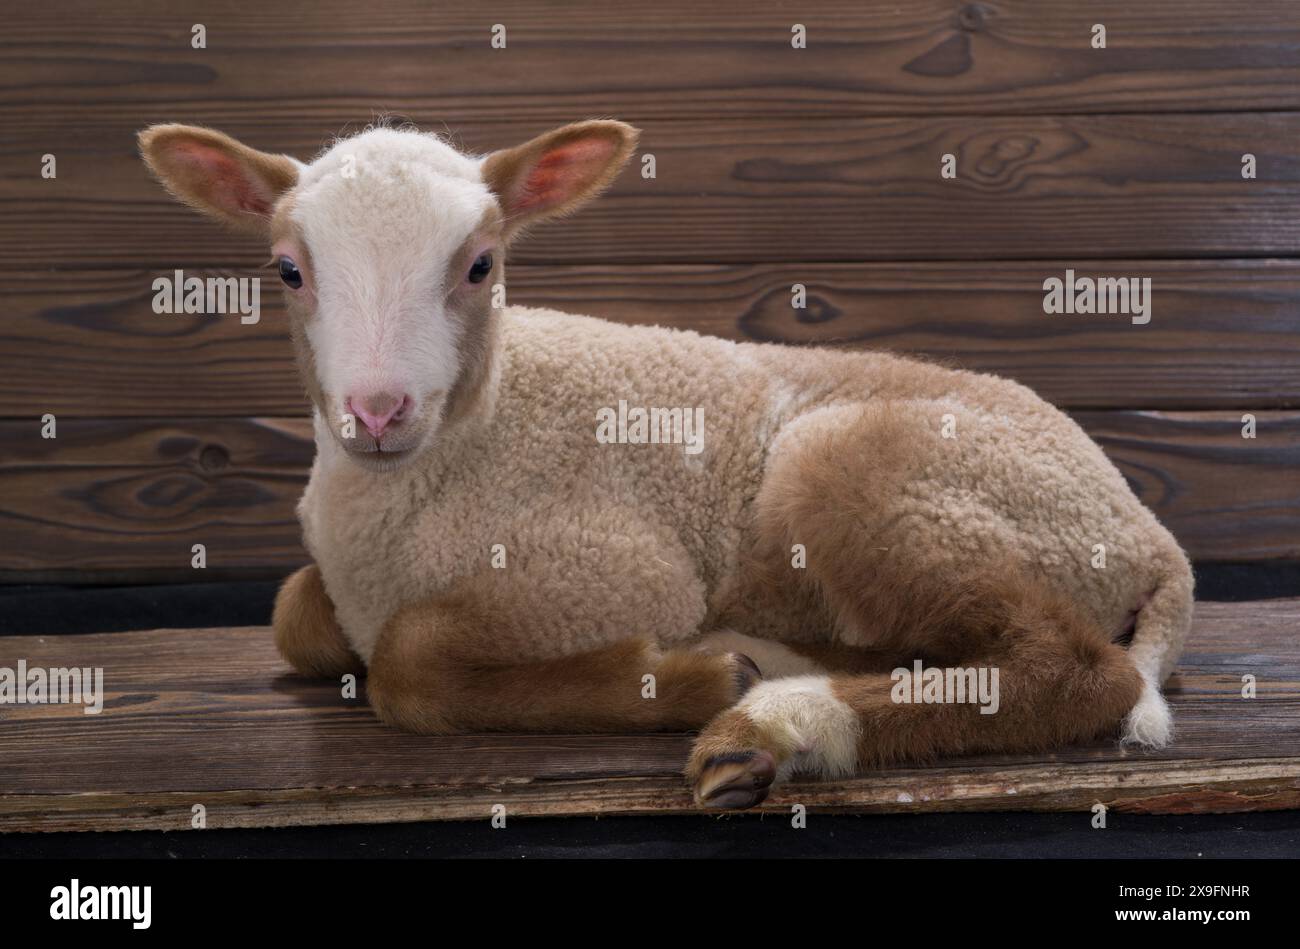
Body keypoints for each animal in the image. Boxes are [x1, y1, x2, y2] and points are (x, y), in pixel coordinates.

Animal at [138, 119, 1194, 809]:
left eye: (481, 265)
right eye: (288, 269)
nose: (377, 410)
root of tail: (1152, 537)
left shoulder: (611, 570)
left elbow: (408, 658)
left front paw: (684, 678)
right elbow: (295, 618)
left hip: (879, 475)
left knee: (1074, 670)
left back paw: (777, 723)